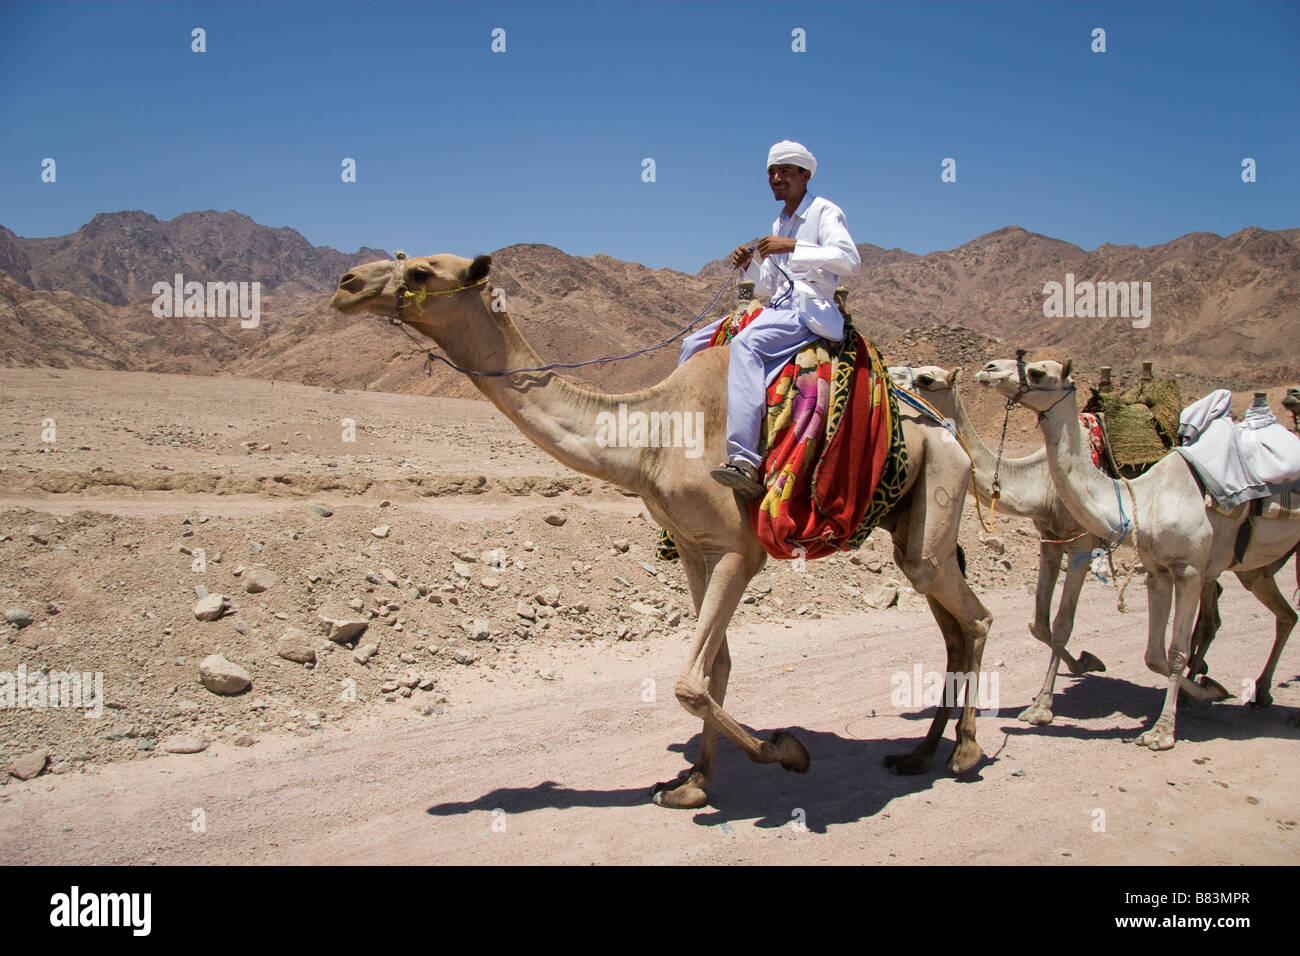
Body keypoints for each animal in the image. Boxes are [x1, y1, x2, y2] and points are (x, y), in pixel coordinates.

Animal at [331, 253, 993, 808]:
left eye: (419, 270)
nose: (347, 284)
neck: (652, 438)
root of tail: (950, 437)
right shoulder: (696, 551)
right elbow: (716, 668)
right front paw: (694, 784)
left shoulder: (740, 551)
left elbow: (690, 683)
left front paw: (788, 752)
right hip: (908, 526)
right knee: (950, 624)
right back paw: (918, 755)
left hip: (939, 491)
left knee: (975, 618)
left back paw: (964, 753)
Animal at [889, 365, 1105, 725]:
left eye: (926, 379)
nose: (989, 369)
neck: (1043, 484)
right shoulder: (1050, 537)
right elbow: (1038, 624)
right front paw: (1084, 663)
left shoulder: (1081, 544)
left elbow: (1062, 624)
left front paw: (1042, 707)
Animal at [977, 356, 1300, 749]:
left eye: (1039, 372)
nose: (989, 368)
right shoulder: (1147, 567)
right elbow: (1149, 652)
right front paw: (1206, 690)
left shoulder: (1173, 566)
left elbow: (1161, 649)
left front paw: (1161, 731)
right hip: (1251, 567)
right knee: (1268, 615)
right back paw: (1249, 689)